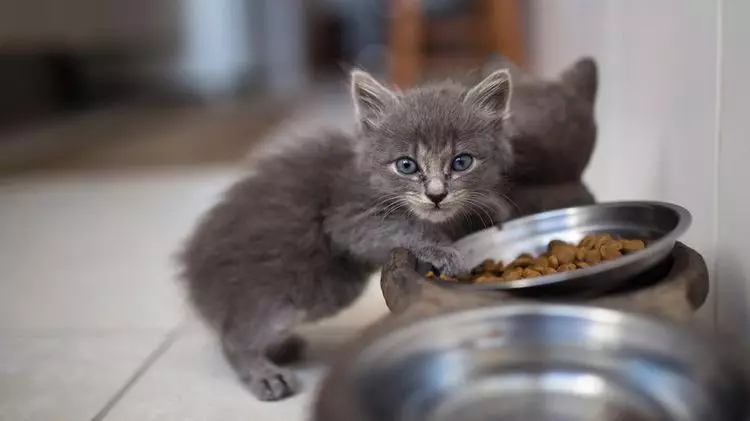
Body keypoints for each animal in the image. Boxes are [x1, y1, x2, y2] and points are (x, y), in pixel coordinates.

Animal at [181, 69, 516, 400]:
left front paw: (489, 206)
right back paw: (264, 372)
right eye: (406, 165)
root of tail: (193, 268)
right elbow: (405, 228)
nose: (436, 195)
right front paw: (441, 248)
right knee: (234, 335)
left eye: (462, 162)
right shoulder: (348, 218)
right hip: (297, 290)